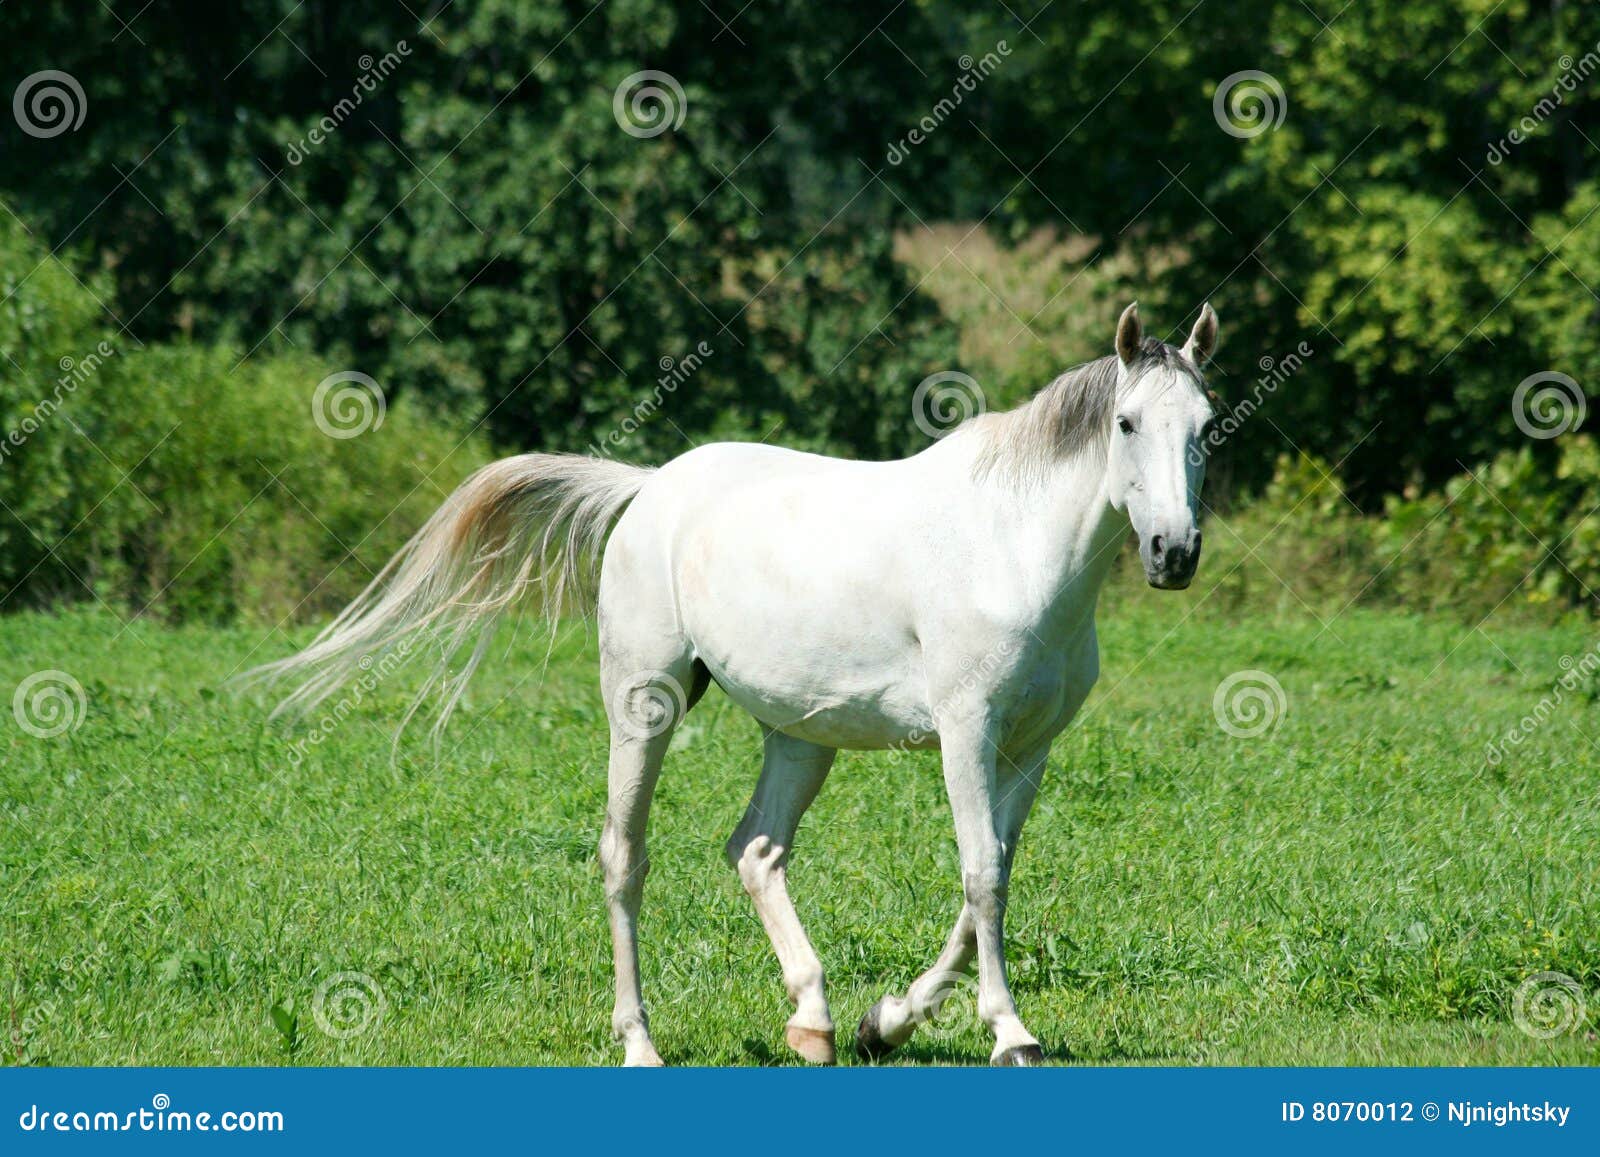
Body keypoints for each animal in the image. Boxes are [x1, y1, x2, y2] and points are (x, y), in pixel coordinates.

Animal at [251, 301, 1220, 1066]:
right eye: (1127, 423)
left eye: (1206, 426)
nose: (1174, 552)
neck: (1009, 547)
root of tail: (649, 488)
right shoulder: (966, 733)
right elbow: (982, 876)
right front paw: (1010, 1033)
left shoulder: (1029, 748)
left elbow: (991, 878)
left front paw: (888, 1021)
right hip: (645, 705)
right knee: (624, 856)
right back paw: (641, 1041)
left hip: (802, 736)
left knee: (755, 850)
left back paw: (816, 1021)